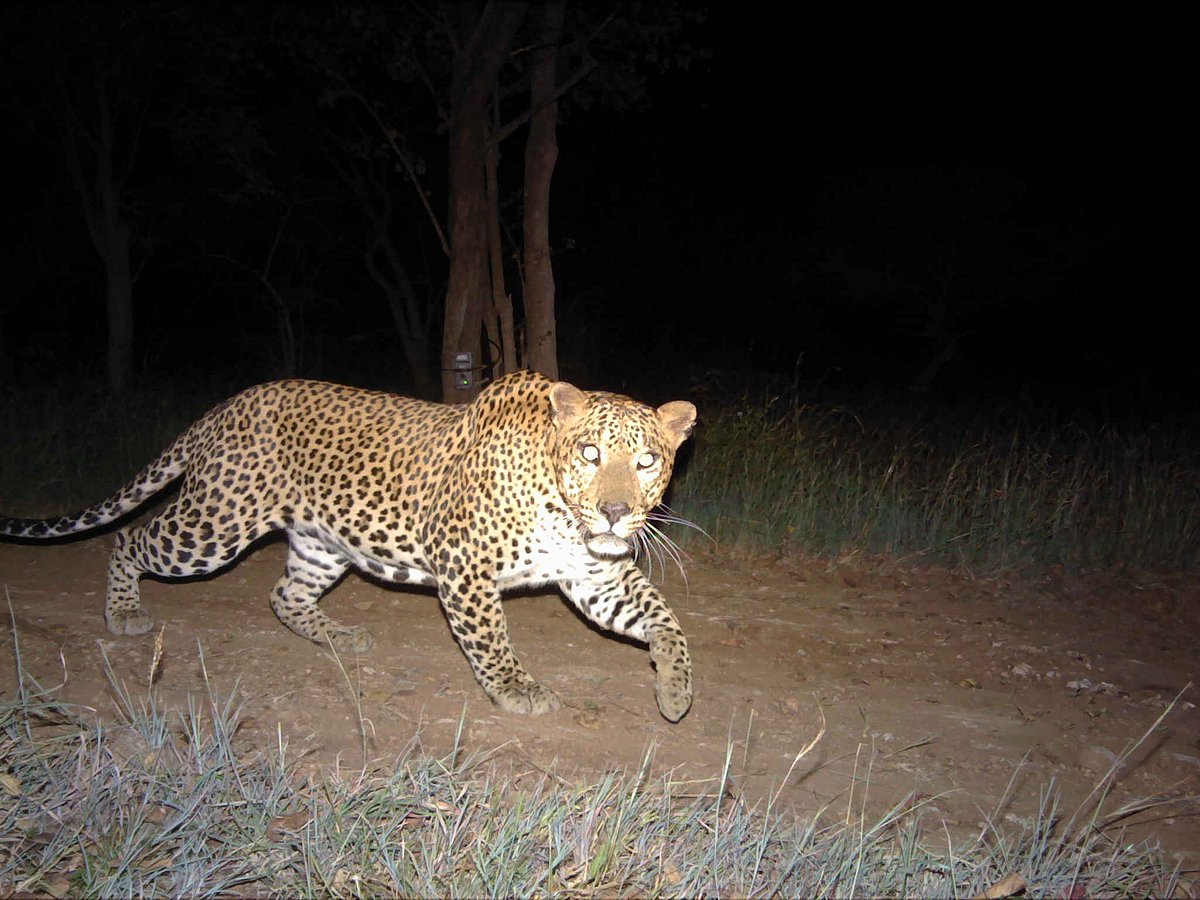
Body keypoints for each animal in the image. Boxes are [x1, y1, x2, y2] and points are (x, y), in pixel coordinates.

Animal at [0, 370, 697, 721]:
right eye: (590, 453)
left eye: (644, 462)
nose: (614, 514)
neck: (561, 507)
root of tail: (223, 408)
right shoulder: (465, 567)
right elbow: (491, 639)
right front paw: (516, 690)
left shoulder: (595, 577)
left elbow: (666, 622)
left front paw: (674, 690)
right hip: (213, 525)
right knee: (128, 537)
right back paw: (123, 613)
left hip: (322, 544)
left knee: (284, 595)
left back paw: (338, 637)